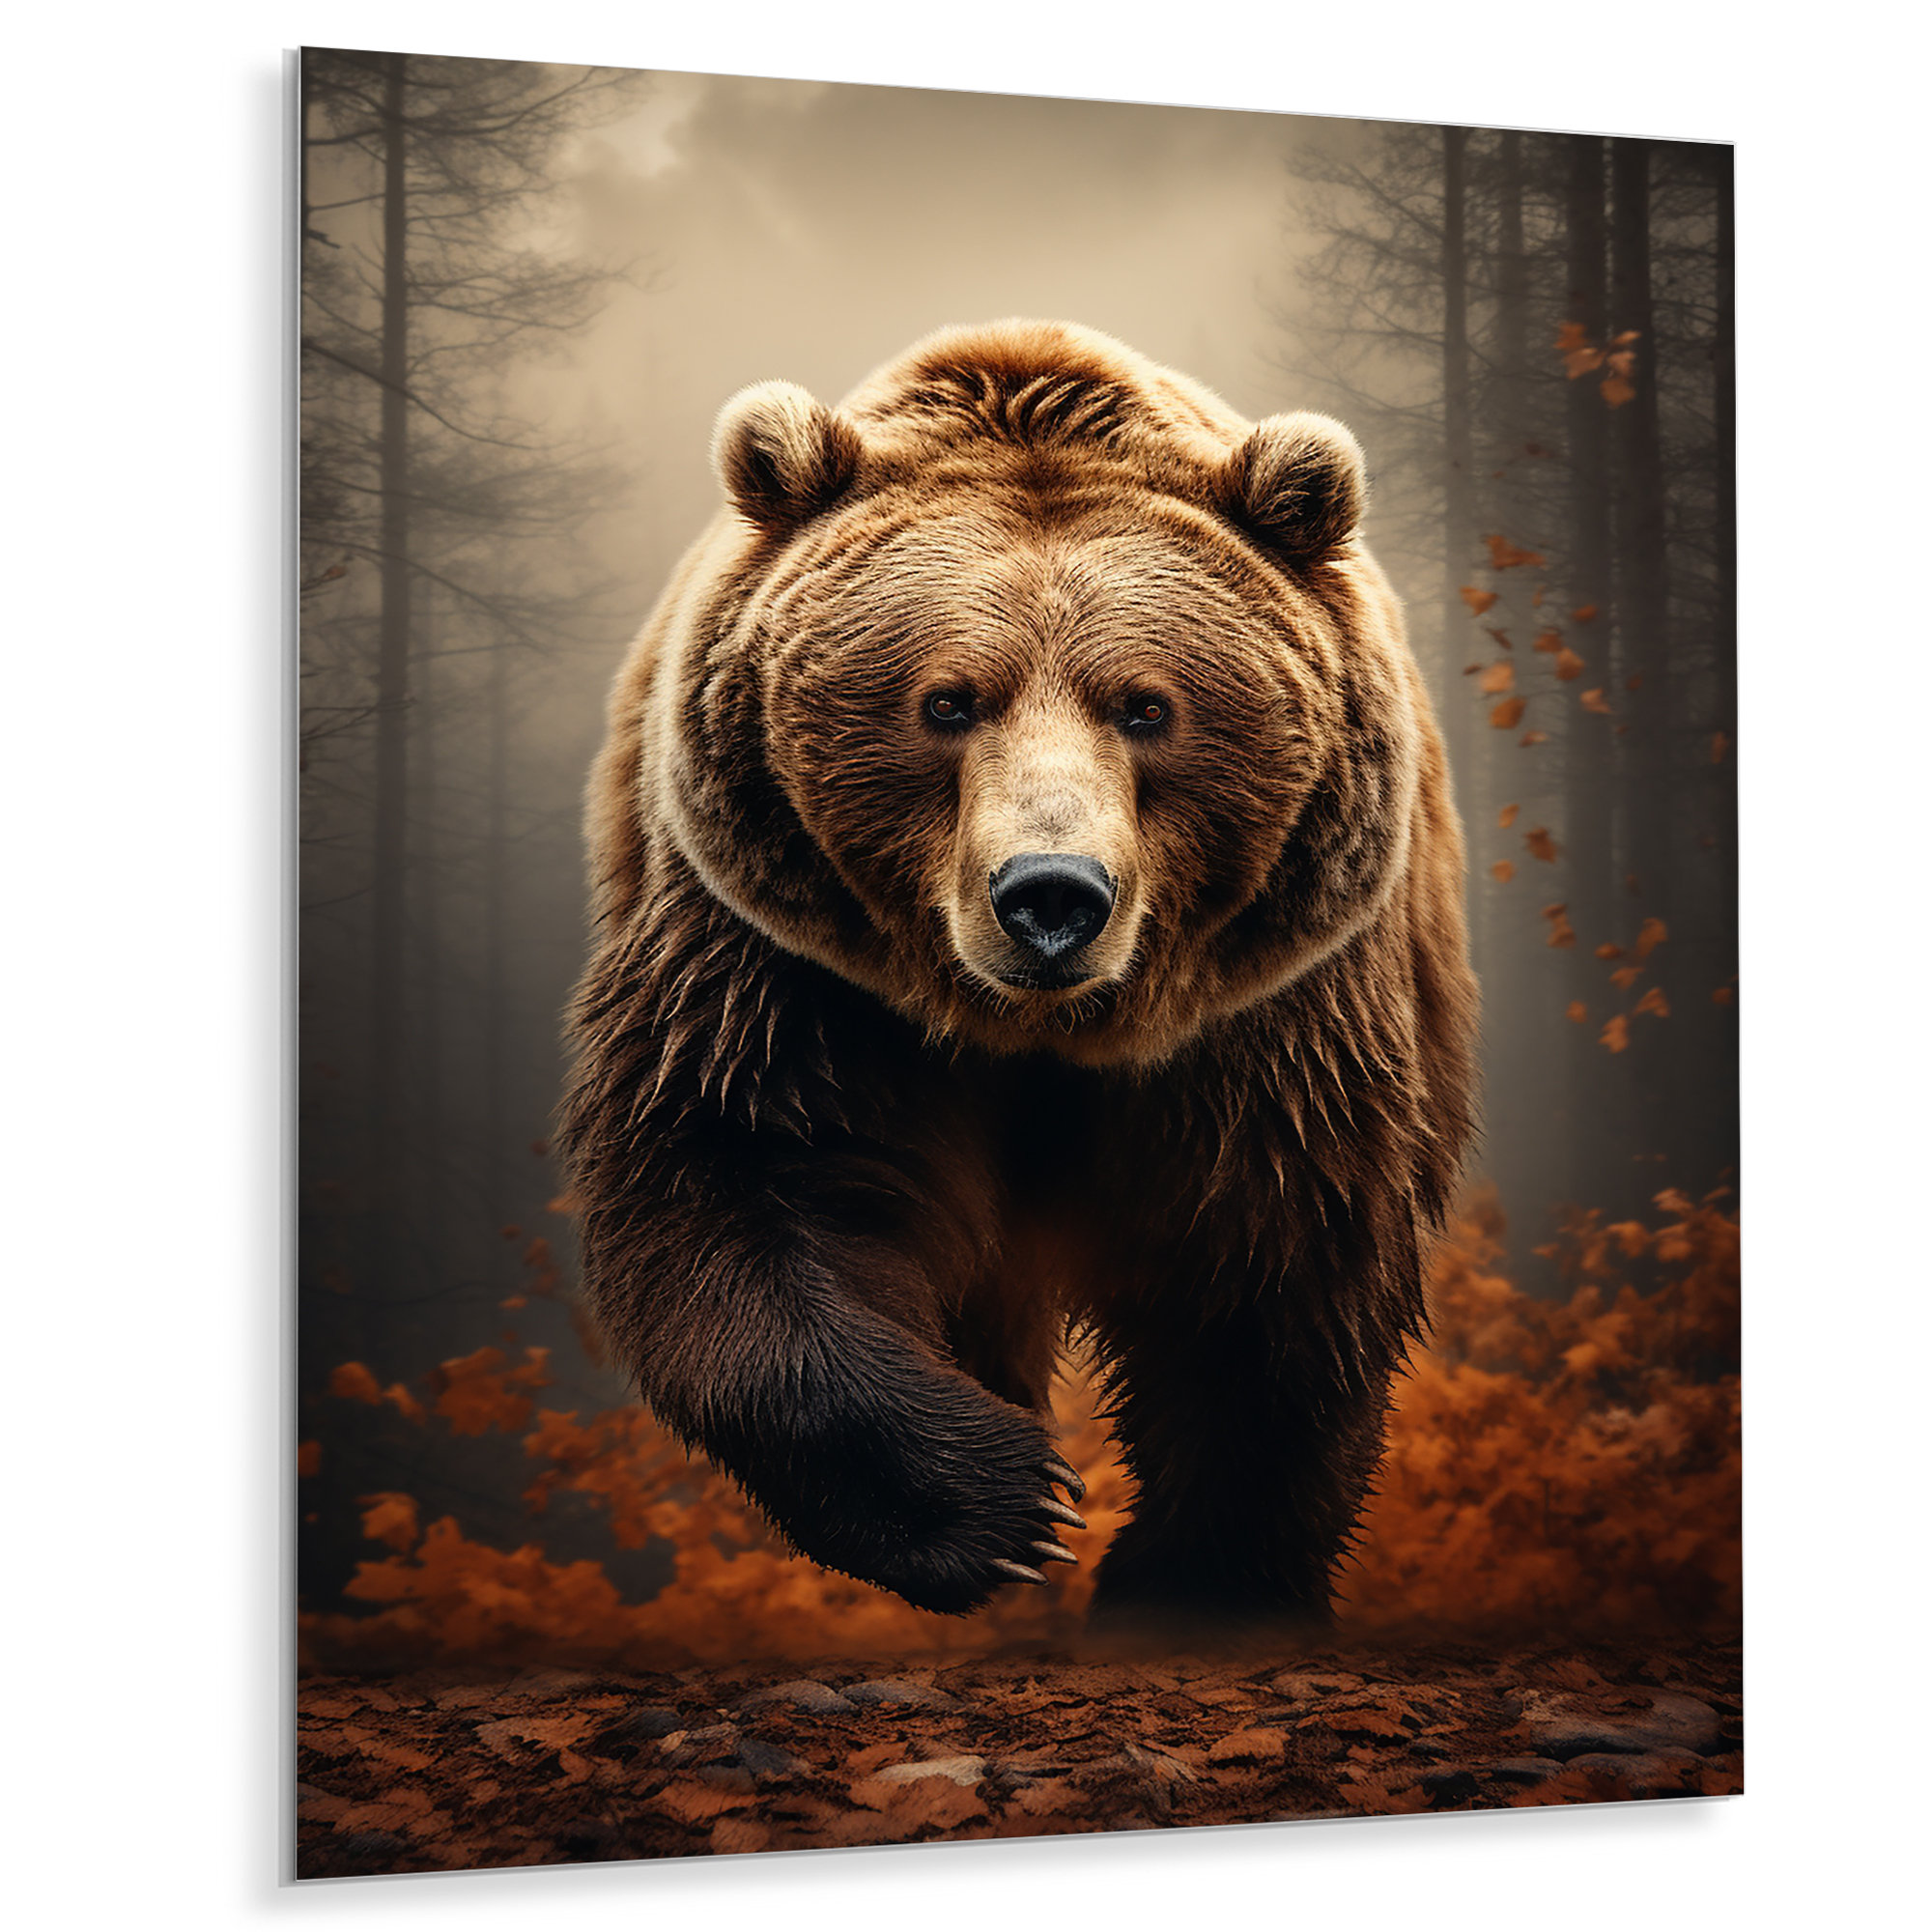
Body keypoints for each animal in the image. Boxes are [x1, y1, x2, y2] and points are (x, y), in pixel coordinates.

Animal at [559, 319, 1478, 1637]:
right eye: (947, 699)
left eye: (1145, 705)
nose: (1049, 894)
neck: (1043, 1032)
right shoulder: (782, 963)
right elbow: (743, 1172)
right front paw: (1000, 1507)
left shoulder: (1275, 1003)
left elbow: (1269, 1255)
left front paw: (1198, 1579)